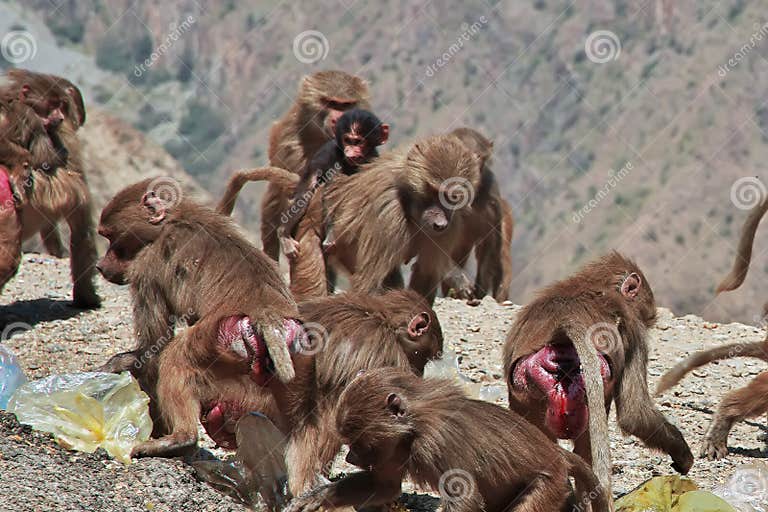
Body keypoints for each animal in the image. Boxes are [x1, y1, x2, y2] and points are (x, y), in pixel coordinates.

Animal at [94, 179, 298, 445]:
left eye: (110, 237)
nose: (100, 266)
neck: (172, 221)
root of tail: (266, 310)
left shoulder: (145, 266)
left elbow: (154, 346)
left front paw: (115, 365)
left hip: (215, 337)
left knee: (174, 355)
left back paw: (181, 439)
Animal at [278, 108, 389, 260]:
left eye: (359, 142)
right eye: (348, 140)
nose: (351, 151)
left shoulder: (374, 159)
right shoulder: (329, 153)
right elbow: (325, 188)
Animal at [285, 367, 610, 512]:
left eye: (360, 441)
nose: (351, 458)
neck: (416, 422)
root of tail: (555, 454)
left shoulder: (435, 444)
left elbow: (465, 500)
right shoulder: (395, 448)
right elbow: (384, 487)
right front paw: (318, 497)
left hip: (549, 484)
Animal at [503, 252, 693, 498]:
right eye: (645, 319)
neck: (594, 285)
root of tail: (564, 324)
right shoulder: (637, 334)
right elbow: (634, 415)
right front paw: (683, 456)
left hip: (528, 387)